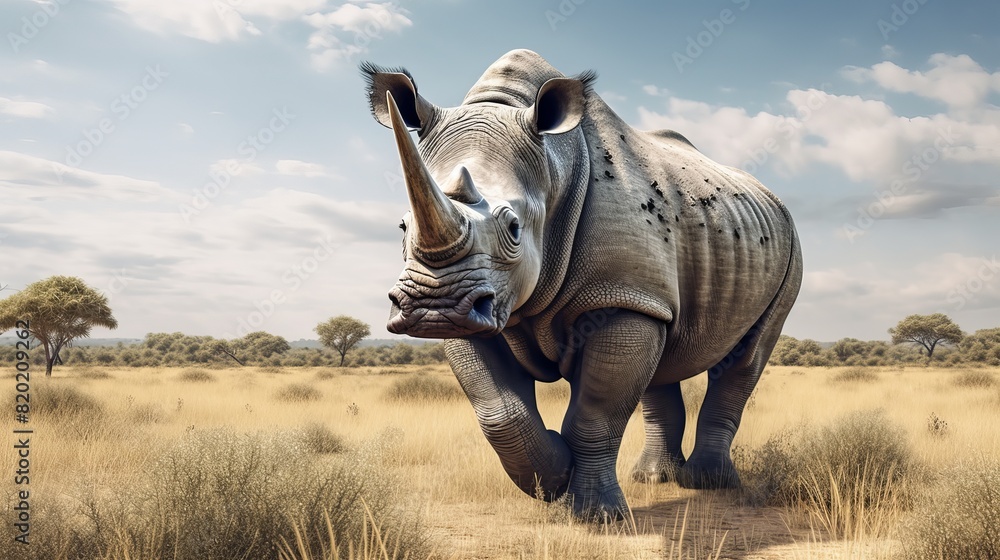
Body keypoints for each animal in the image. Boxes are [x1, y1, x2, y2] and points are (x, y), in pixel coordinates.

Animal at [361, 49, 802, 520]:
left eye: (514, 228)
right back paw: (653, 479)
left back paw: (706, 484)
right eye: (402, 226)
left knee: (745, 358)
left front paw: (596, 514)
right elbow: (499, 409)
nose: (433, 307)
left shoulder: (621, 295)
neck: (553, 165)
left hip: (788, 251)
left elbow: (596, 414)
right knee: (663, 344)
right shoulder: (481, 309)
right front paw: (553, 475)